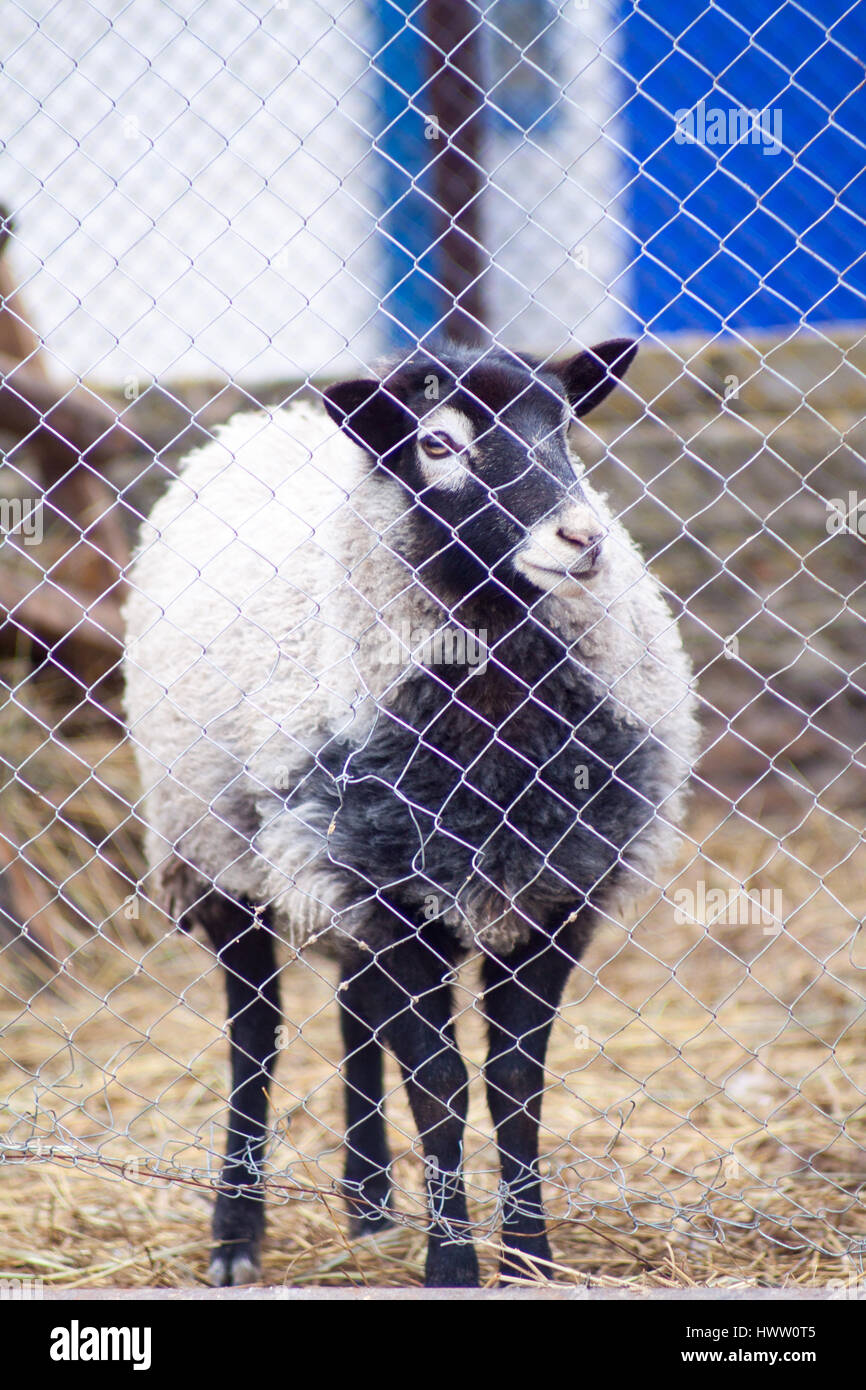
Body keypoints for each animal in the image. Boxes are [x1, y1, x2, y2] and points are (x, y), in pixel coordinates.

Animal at [123, 338, 699, 1287]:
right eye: (438, 444)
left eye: (562, 427)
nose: (582, 540)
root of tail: (275, 414)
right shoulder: (386, 895)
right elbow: (440, 1088)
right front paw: (454, 1266)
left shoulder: (555, 893)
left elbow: (513, 1085)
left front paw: (531, 1260)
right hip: (218, 841)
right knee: (256, 1032)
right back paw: (237, 1232)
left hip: (338, 862)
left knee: (355, 1011)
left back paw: (366, 1203)